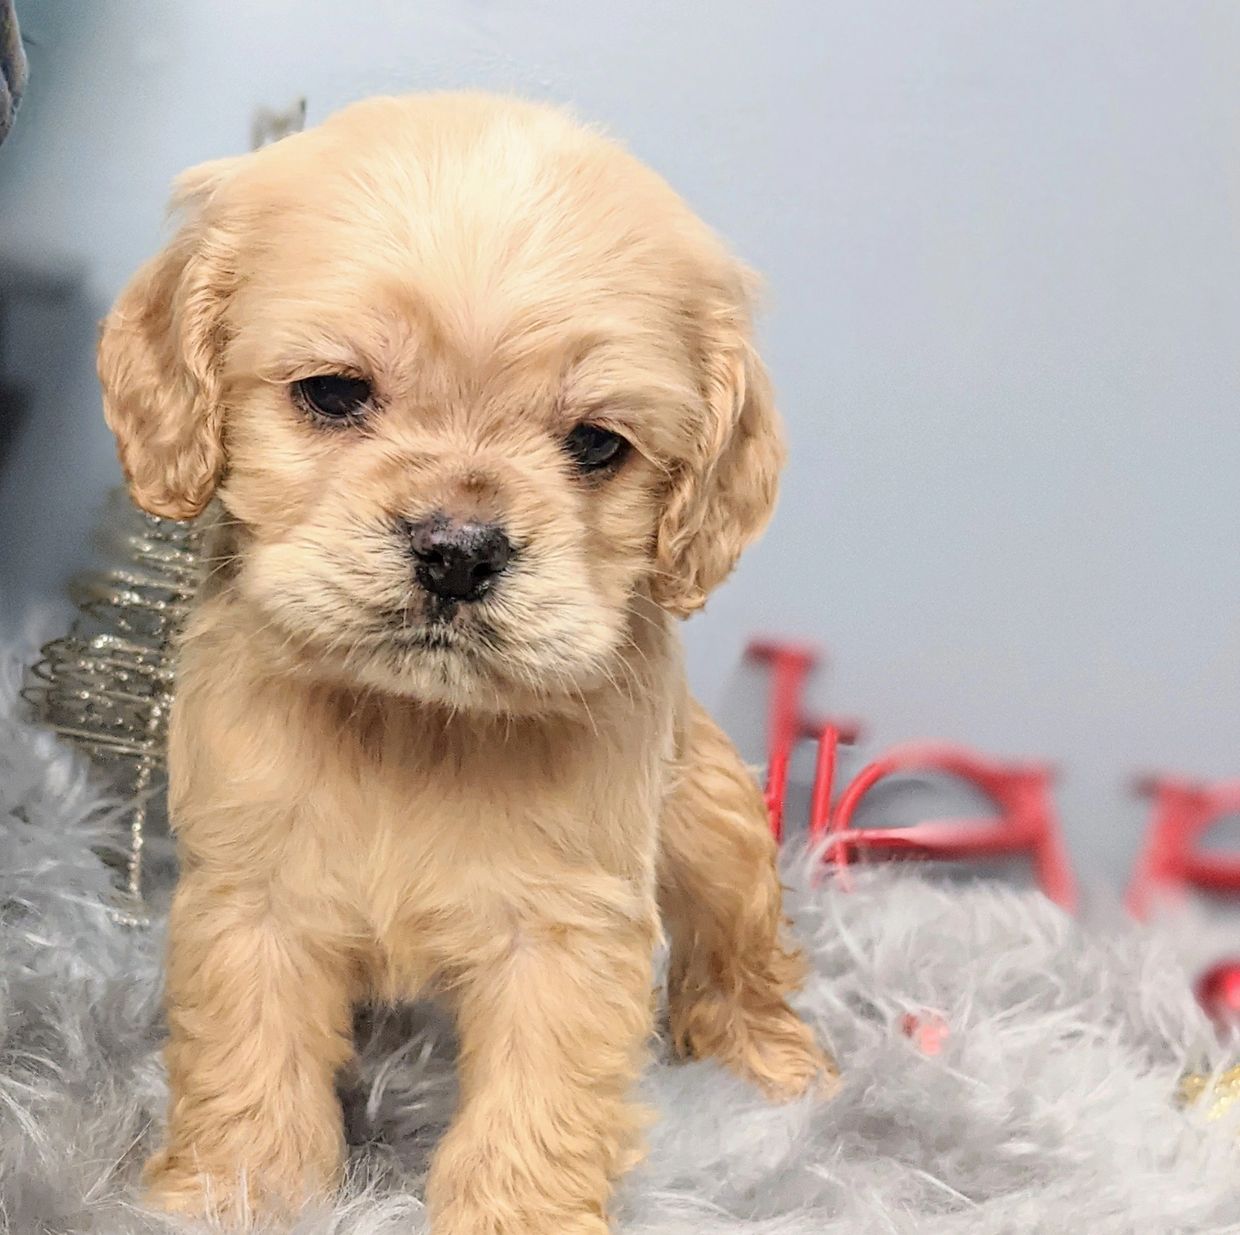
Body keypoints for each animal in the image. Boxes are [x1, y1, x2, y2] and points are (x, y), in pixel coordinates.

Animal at [96, 91, 833, 1230]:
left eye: (597, 444)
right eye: (334, 392)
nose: (458, 550)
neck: (415, 722)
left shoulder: (567, 930)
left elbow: (537, 1108)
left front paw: (516, 1214)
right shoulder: (254, 894)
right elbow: (246, 1058)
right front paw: (237, 1191)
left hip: (715, 826)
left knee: (741, 951)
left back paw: (771, 1057)